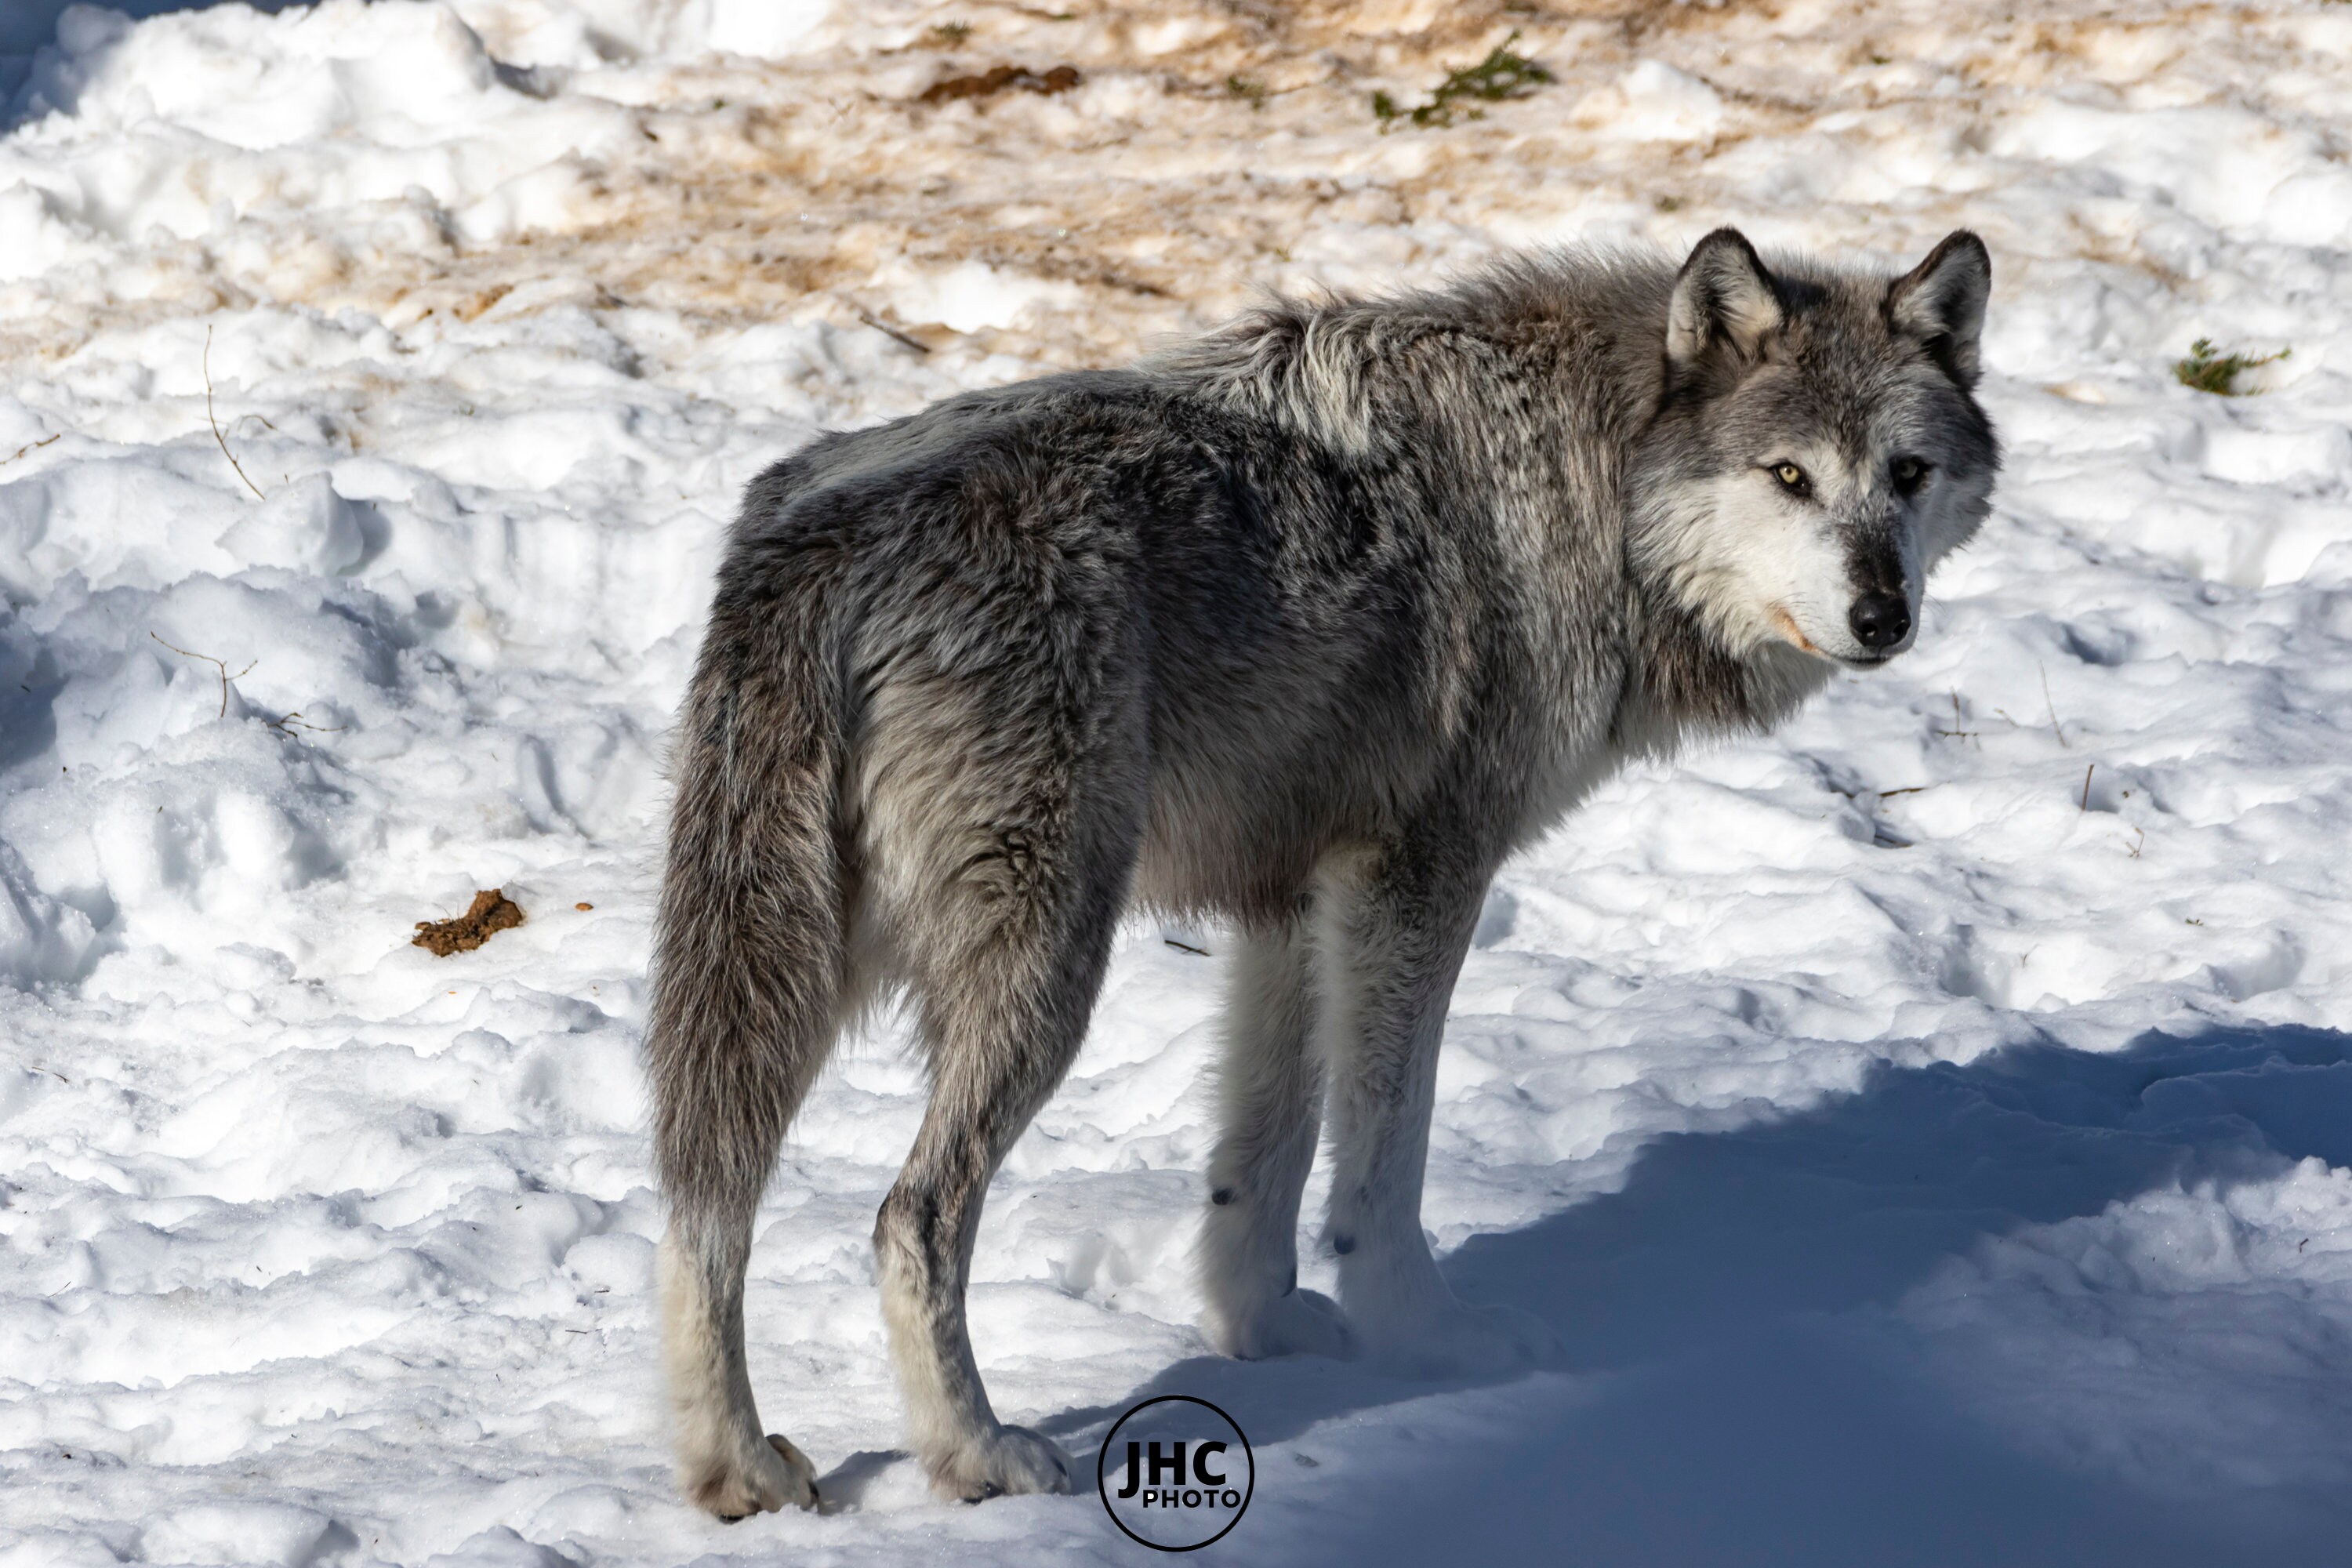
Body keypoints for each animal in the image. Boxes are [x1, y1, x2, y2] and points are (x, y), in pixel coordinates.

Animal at [645, 227, 1999, 1517]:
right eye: (1790, 477)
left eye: (1906, 475)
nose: (1884, 616)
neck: (1591, 483)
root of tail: (822, 549)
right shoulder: (1420, 874)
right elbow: (1386, 1150)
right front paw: (1425, 1337)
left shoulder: (1293, 894)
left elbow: (1265, 1151)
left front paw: (1260, 1331)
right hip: (1038, 969)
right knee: (909, 1217)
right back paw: (976, 1453)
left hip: (779, 968)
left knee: (703, 1194)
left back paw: (736, 1472)